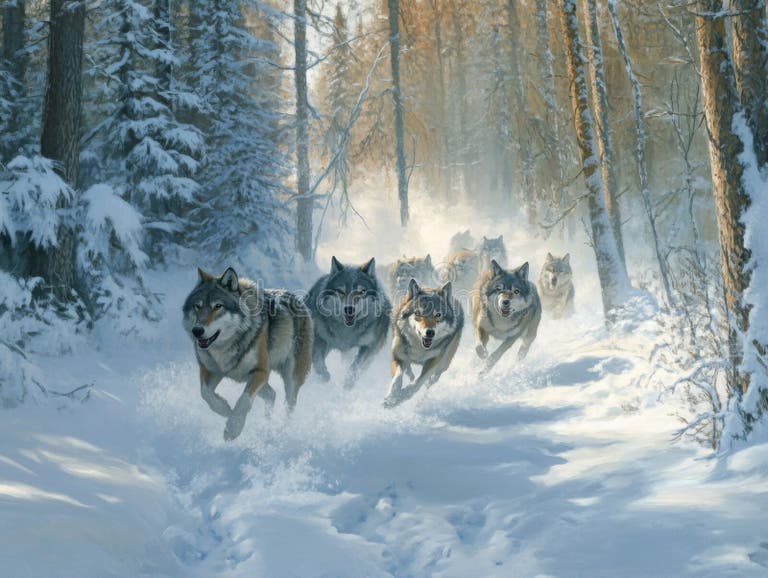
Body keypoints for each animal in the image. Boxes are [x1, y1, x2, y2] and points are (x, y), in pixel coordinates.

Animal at [182, 267, 313, 440]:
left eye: (218, 306)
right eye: (197, 306)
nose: (197, 331)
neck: (225, 347)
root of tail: (295, 297)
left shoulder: (260, 371)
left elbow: (244, 400)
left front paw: (233, 427)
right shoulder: (211, 370)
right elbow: (205, 393)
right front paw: (225, 409)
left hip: (291, 378)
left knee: (288, 406)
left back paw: (282, 430)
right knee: (272, 394)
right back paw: (267, 424)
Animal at [306, 257, 391, 388]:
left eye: (361, 291)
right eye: (341, 291)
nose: (349, 309)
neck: (347, 332)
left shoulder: (369, 346)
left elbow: (355, 367)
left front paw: (347, 384)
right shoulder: (320, 340)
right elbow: (319, 364)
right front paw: (325, 379)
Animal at [384, 279, 463, 407]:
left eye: (438, 315)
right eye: (417, 313)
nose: (430, 332)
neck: (419, 350)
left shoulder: (433, 362)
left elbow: (418, 383)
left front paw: (402, 396)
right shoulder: (397, 357)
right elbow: (397, 379)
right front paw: (392, 397)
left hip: (442, 366)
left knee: (429, 384)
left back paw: (420, 402)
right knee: (409, 370)